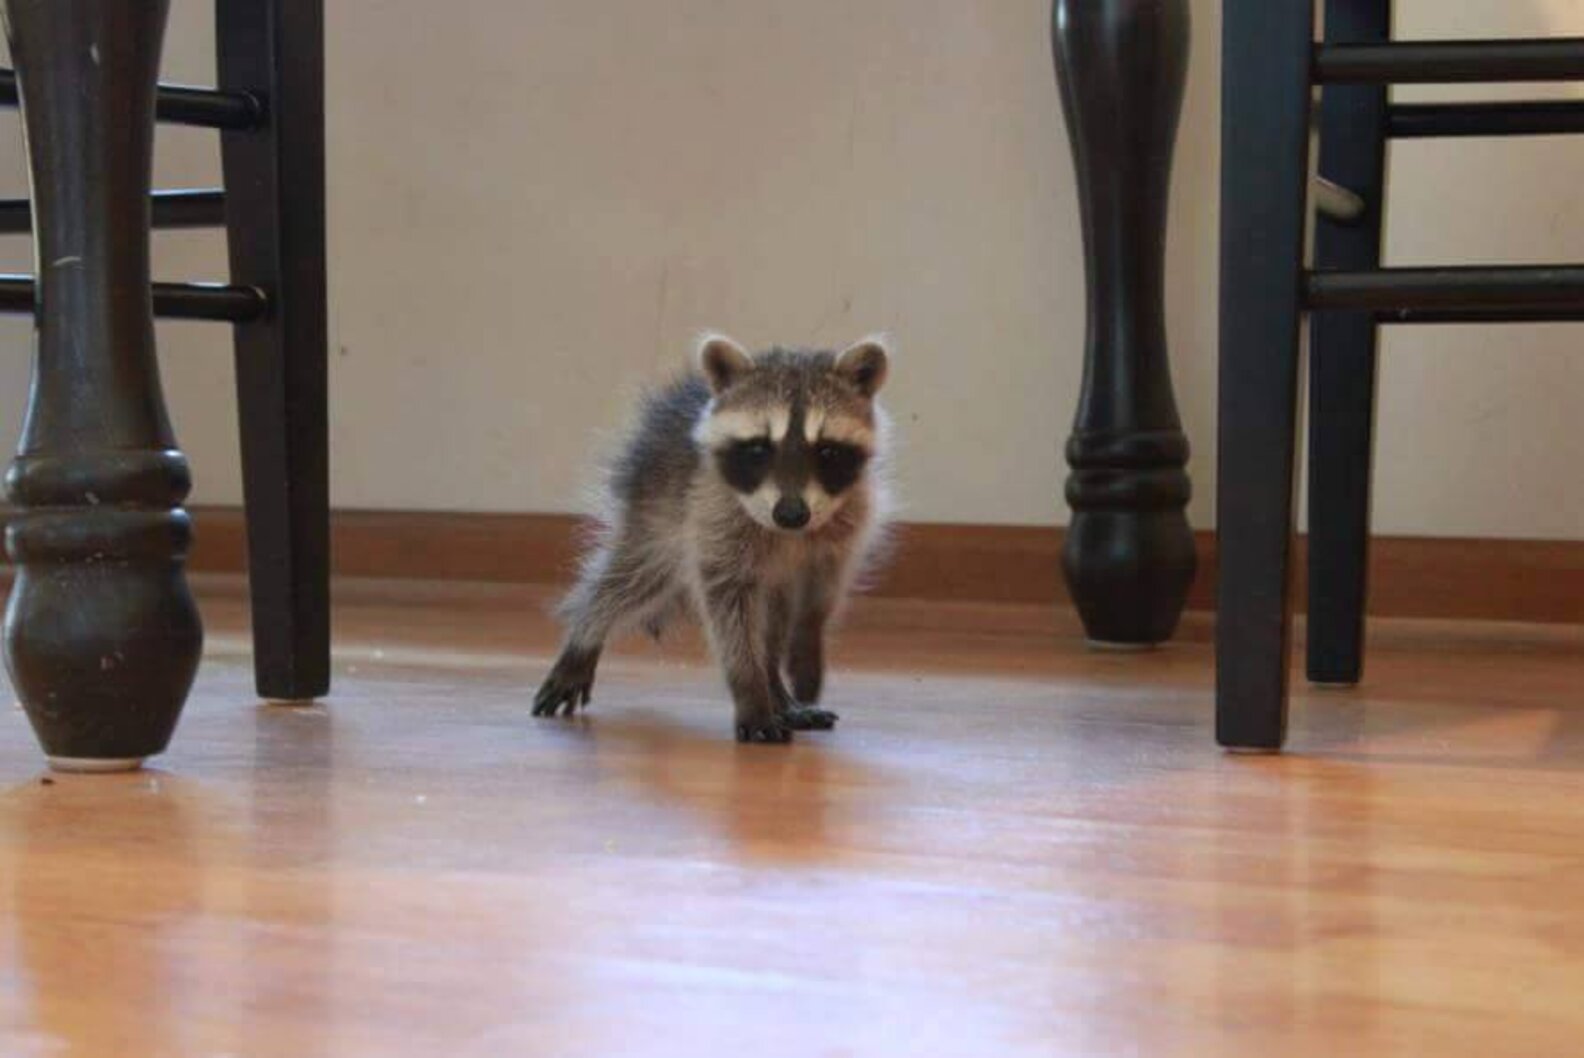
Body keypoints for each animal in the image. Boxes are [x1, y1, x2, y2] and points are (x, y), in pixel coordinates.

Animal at [533, 332, 894, 743]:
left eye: (828, 451)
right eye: (759, 447)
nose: (790, 514)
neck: (788, 534)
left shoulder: (847, 526)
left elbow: (823, 594)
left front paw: (807, 643)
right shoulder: (712, 513)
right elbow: (729, 613)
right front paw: (749, 687)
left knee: (772, 624)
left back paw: (779, 691)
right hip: (656, 508)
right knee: (632, 579)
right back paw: (586, 633)